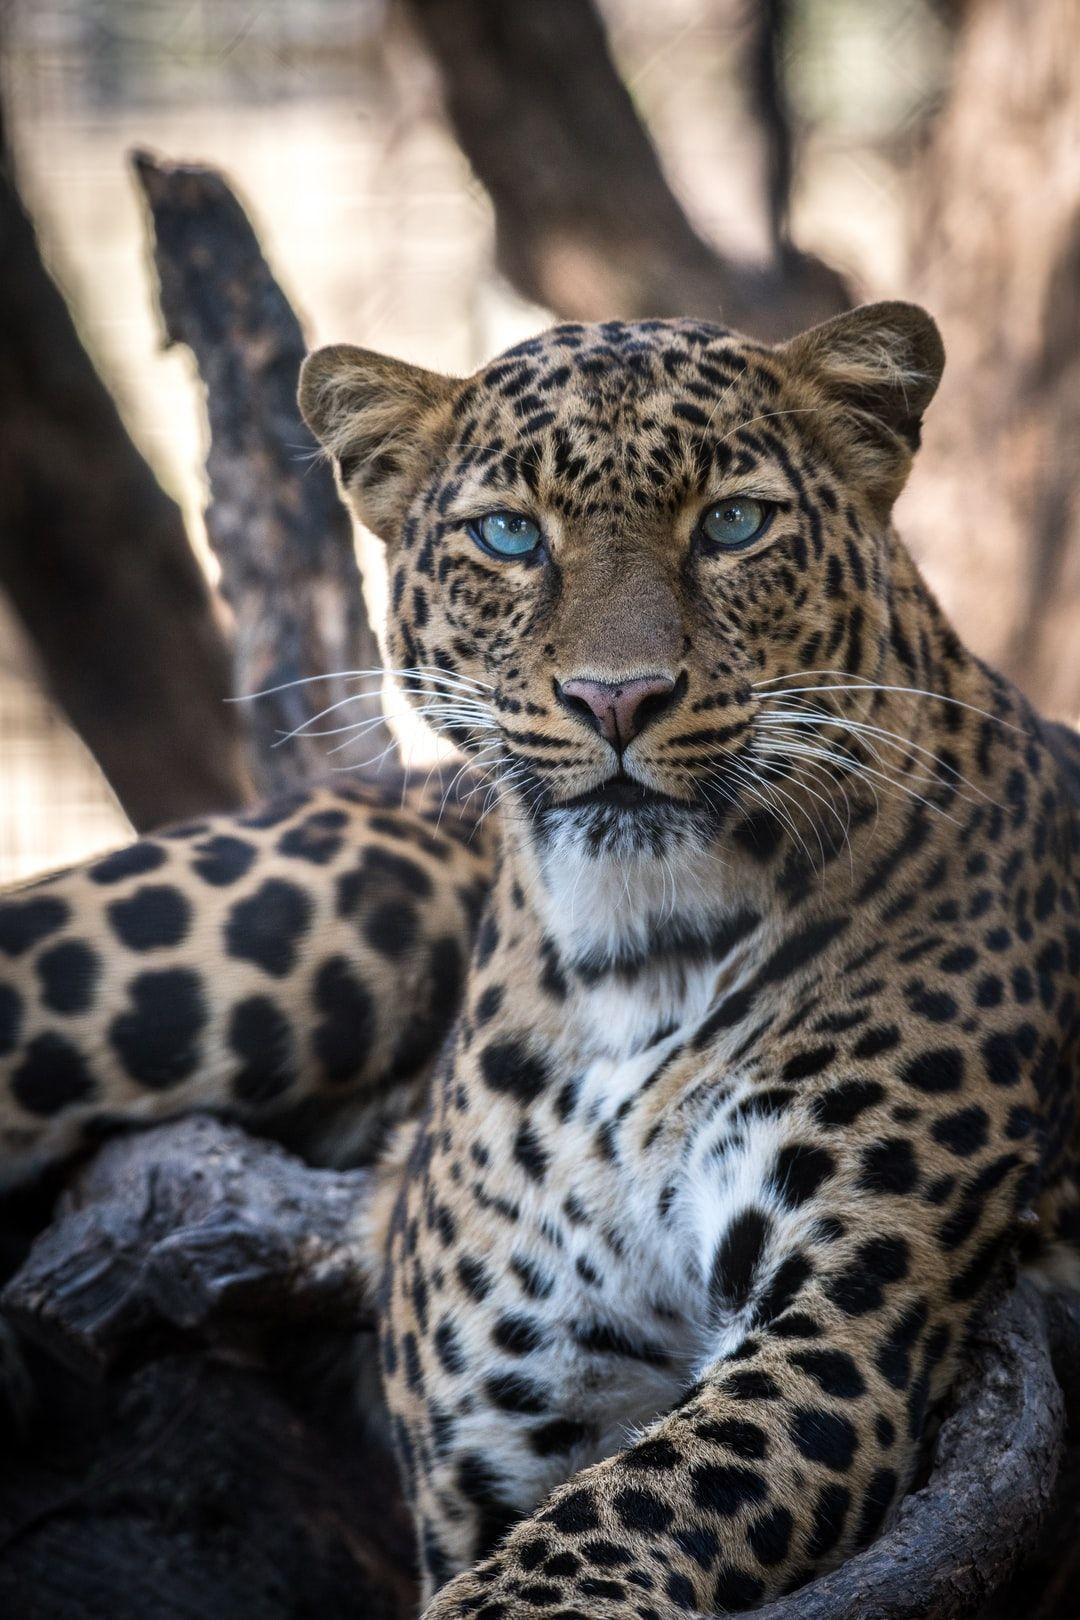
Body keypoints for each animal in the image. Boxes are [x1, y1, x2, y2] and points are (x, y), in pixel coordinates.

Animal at [1, 301, 1078, 1620]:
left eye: (733, 522)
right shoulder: (509, 1418)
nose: (618, 699)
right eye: (510, 535)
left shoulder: (850, 1325)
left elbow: (616, 1518)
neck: (637, 956)